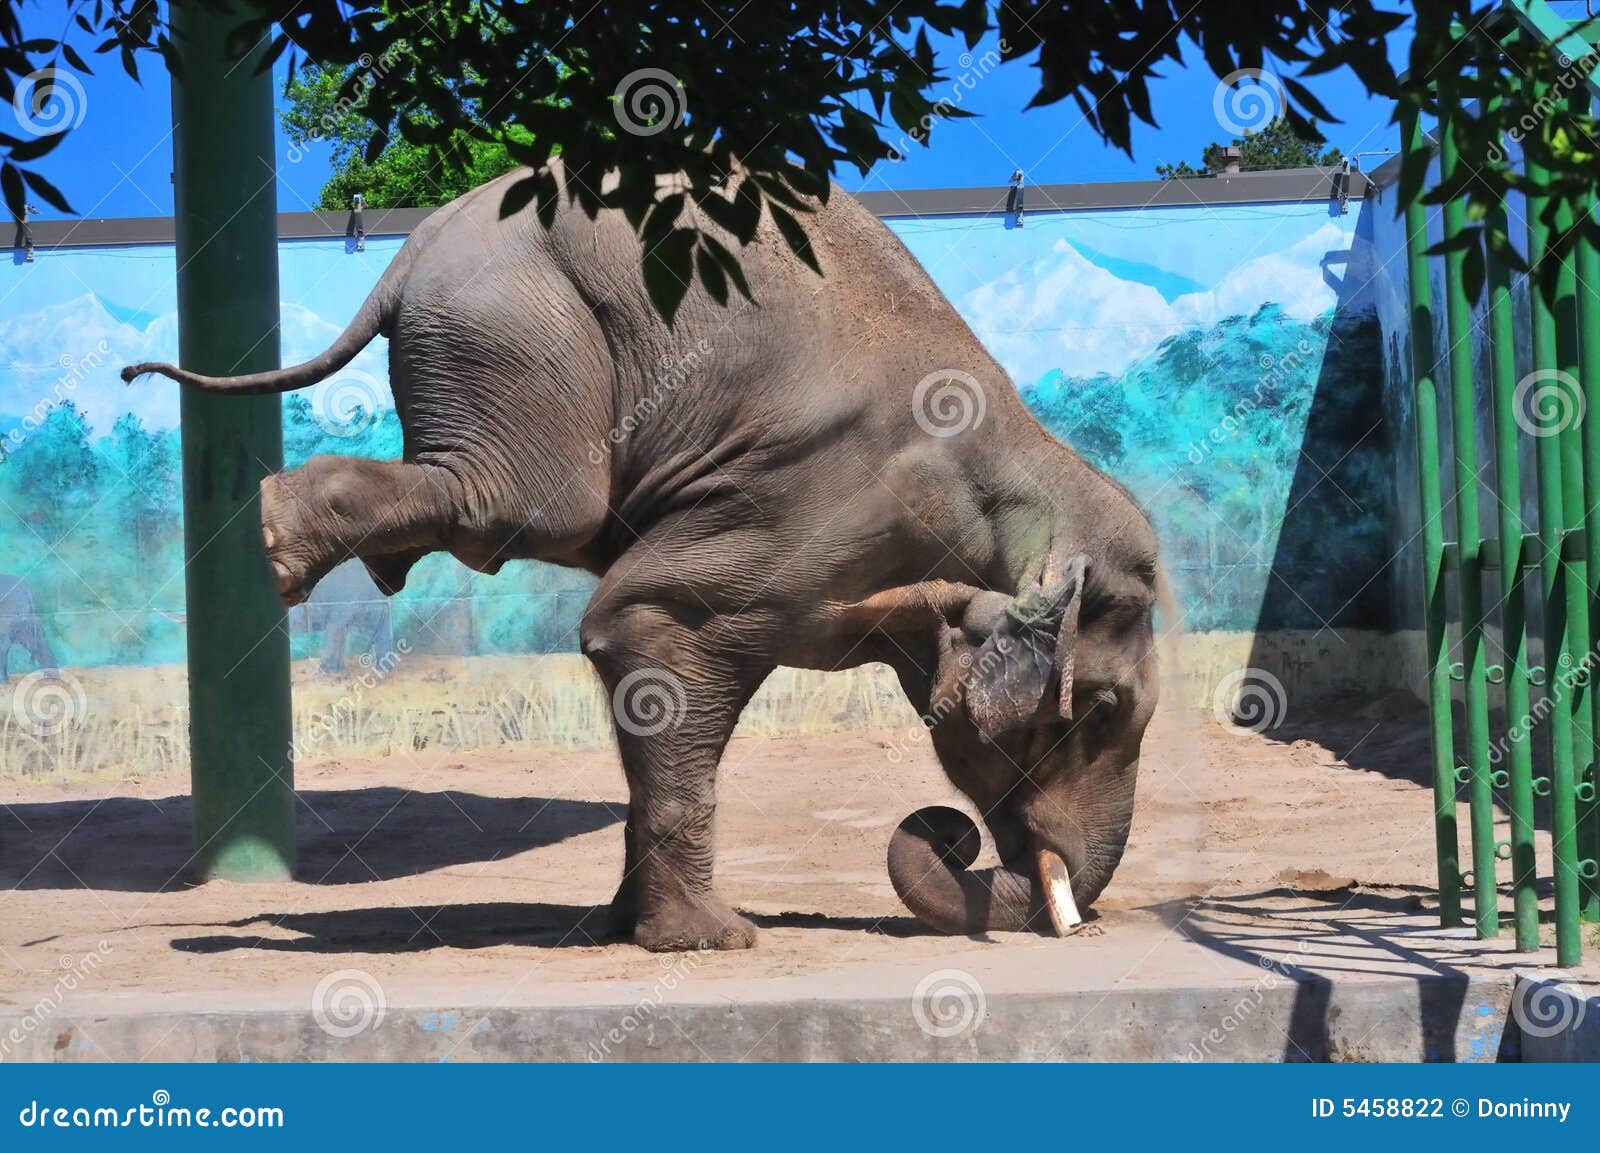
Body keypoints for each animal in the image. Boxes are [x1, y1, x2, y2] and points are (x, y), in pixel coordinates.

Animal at [124, 163, 1162, 952]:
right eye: (1101, 712)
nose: (955, 835)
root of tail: (412, 250)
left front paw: (628, 928)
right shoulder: (810, 506)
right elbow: (647, 623)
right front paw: (712, 940)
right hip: (524, 333)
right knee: (518, 503)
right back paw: (277, 542)